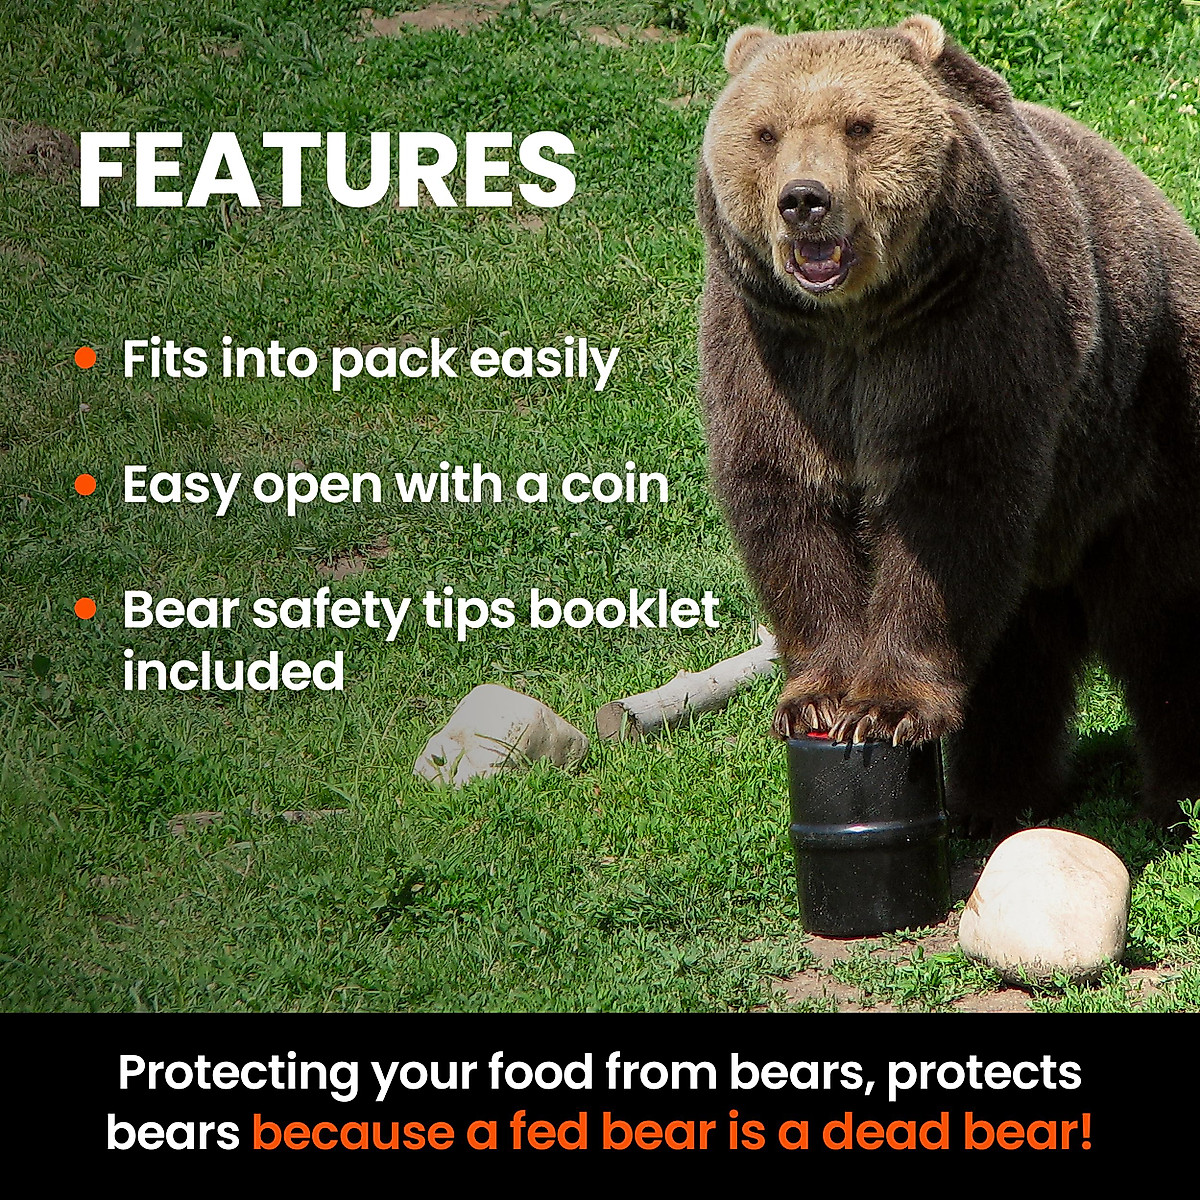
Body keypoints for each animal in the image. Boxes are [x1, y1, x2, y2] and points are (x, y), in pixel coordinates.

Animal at [696, 14, 1200, 835]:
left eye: (859, 125)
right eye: (766, 132)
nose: (804, 200)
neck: (858, 322)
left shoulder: (969, 336)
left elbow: (950, 505)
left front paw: (888, 707)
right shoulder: (772, 348)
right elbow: (786, 500)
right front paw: (821, 698)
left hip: (1150, 424)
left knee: (1163, 616)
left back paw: (1178, 795)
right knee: (1019, 657)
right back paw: (997, 797)